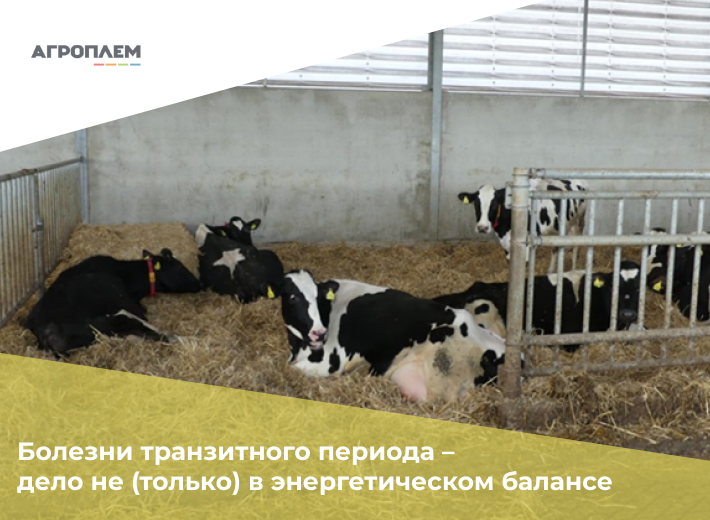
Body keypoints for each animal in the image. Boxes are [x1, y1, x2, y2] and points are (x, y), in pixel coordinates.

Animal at [273, 270, 507, 402]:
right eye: (292, 297)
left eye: (318, 297)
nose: (319, 333)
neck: (299, 346)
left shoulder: (330, 361)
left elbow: (290, 368)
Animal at [458, 178, 587, 271]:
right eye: (476, 204)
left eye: (494, 205)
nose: (482, 228)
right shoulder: (506, 244)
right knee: (556, 248)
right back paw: (550, 271)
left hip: (579, 223)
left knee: (576, 247)